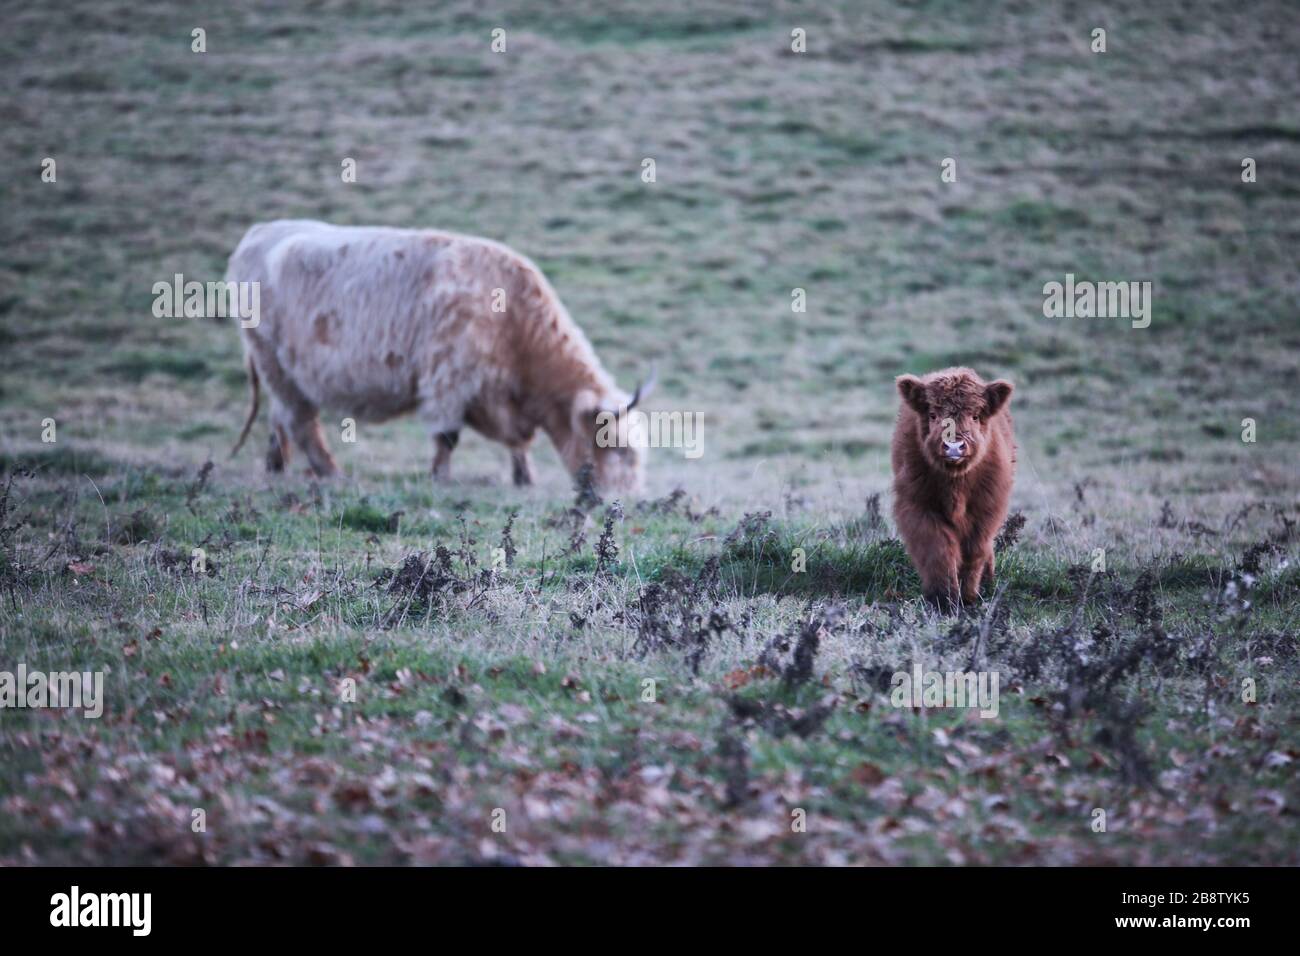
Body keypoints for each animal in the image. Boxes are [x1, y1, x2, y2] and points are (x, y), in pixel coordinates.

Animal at [226, 220, 652, 494]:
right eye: (617, 448)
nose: (626, 497)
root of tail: (258, 234)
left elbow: (519, 445)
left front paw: (524, 479)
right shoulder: (449, 378)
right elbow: (447, 436)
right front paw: (441, 479)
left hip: (281, 373)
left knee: (279, 420)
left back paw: (276, 470)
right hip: (275, 364)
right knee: (300, 423)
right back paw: (332, 474)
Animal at [891, 367, 1016, 610]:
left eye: (975, 416)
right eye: (933, 415)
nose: (954, 446)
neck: (955, 485)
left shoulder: (986, 509)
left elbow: (974, 551)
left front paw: (967, 596)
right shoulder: (917, 506)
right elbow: (938, 549)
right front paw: (944, 598)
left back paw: (988, 580)